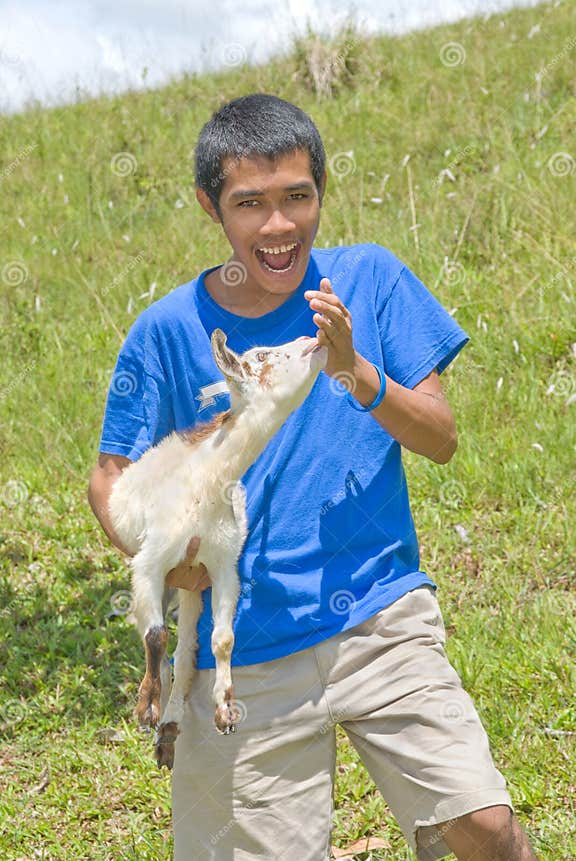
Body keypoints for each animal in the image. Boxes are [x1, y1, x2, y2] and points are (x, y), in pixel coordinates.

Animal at [108, 327, 327, 769]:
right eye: (261, 356)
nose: (309, 338)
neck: (205, 484)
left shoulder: (222, 566)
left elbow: (222, 639)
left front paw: (225, 710)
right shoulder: (150, 563)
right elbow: (154, 636)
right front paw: (144, 707)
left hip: (192, 588)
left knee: (186, 653)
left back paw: (170, 730)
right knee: (162, 645)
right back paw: (160, 716)